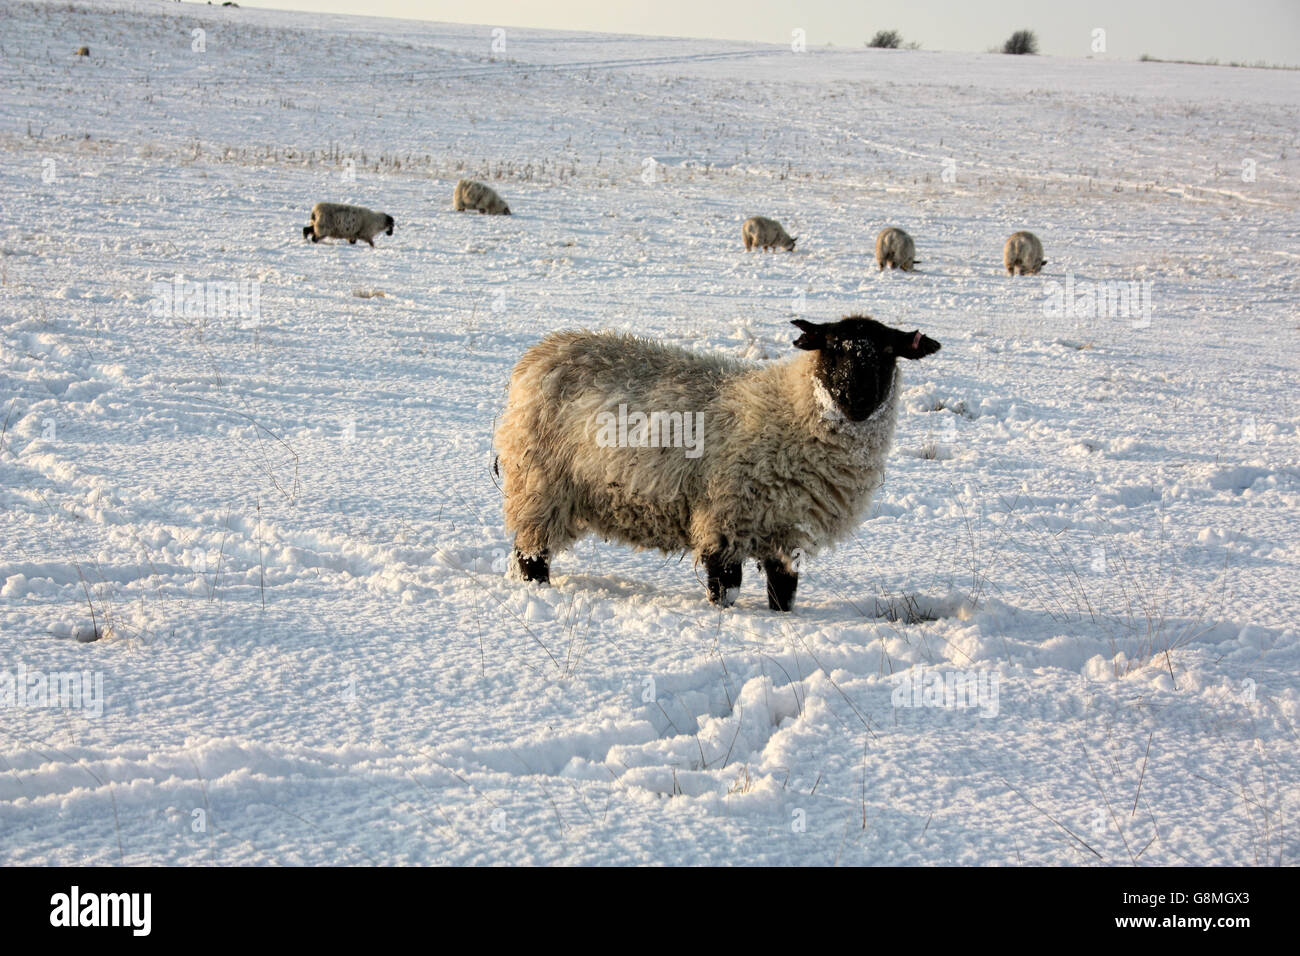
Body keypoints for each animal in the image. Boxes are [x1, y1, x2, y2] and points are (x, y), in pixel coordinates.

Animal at [494, 315, 941, 611]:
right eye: (831, 347)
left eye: (889, 353)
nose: (856, 399)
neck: (791, 411)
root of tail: (541, 352)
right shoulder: (725, 518)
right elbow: (726, 585)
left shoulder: (788, 530)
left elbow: (783, 591)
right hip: (540, 483)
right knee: (531, 554)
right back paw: (539, 592)